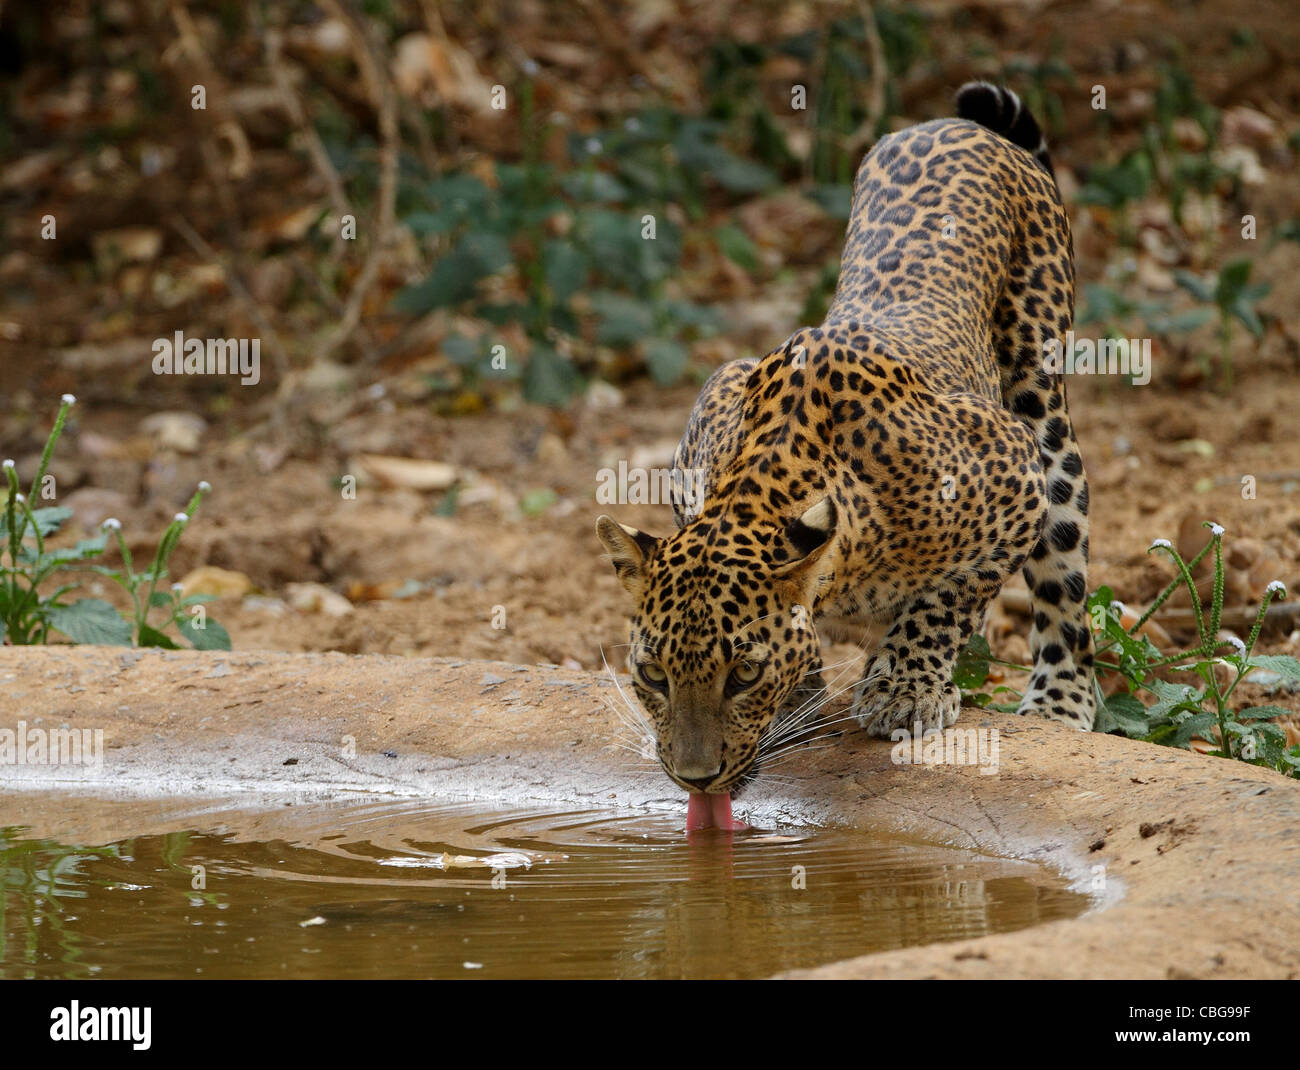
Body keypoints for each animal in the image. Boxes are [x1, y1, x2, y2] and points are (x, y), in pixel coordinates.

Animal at [597, 83, 1096, 812]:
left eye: (743, 675)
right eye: (654, 675)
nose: (695, 777)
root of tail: (958, 126)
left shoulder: (1009, 472)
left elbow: (948, 600)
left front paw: (904, 689)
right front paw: (808, 685)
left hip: (1043, 405)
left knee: (1065, 585)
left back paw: (1059, 703)